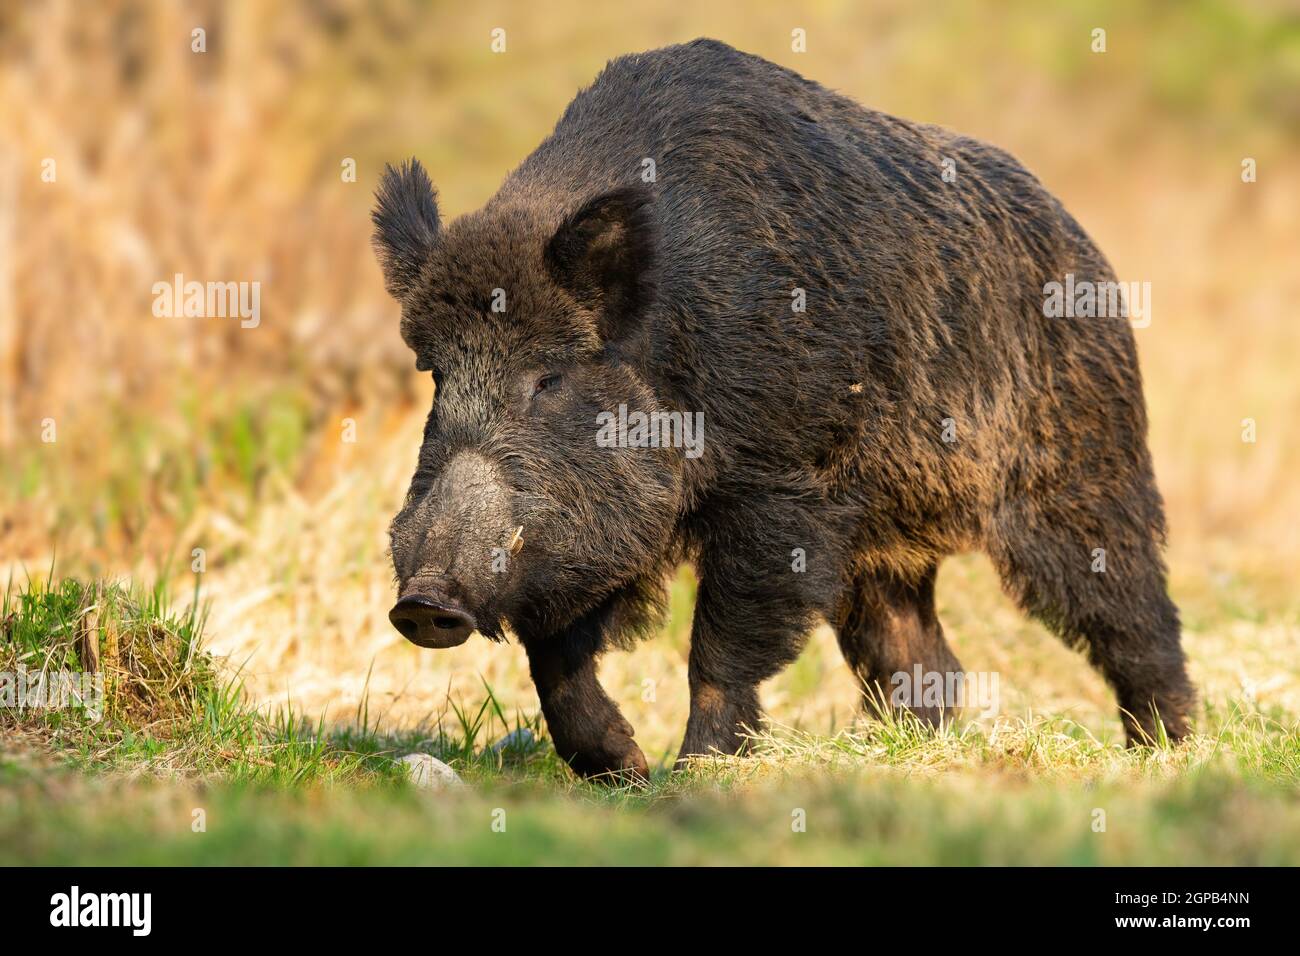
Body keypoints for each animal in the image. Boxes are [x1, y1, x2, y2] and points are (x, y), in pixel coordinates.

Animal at [374, 39, 1194, 781]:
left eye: (547, 377)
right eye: (435, 372)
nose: (423, 602)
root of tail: (1087, 250)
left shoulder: (781, 488)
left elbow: (719, 648)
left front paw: (696, 771)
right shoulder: (608, 530)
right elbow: (555, 657)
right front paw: (623, 770)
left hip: (1085, 474)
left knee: (1135, 615)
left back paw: (1169, 751)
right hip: (884, 546)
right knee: (919, 652)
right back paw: (907, 752)